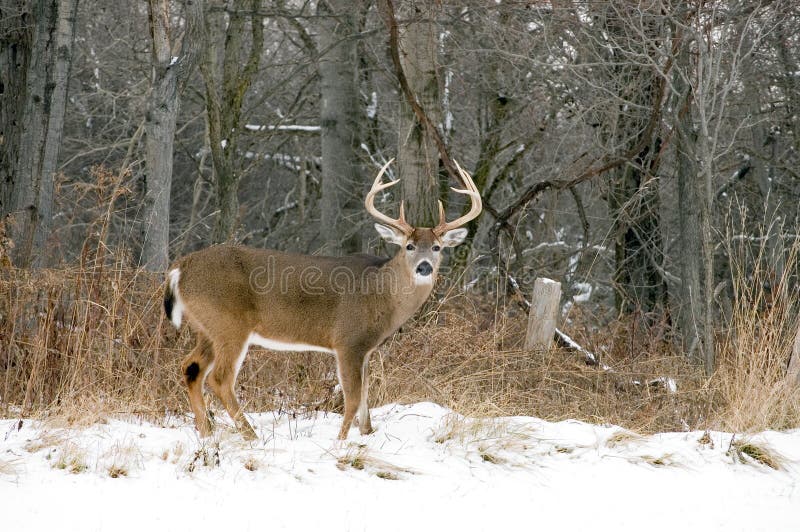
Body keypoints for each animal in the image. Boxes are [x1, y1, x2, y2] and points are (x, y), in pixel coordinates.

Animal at [163, 159, 482, 440]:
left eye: (438, 247)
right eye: (409, 246)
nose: (424, 267)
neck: (381, 295)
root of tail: (180, 268)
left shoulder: (366, 349)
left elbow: (366, 397)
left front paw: (366, 435)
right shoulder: (348, 341)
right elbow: (353, 398)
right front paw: (340, 441)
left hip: (206, 327)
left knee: (191, 368)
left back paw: (207, 434)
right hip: (230, 325)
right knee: (220, 378)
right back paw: (250, 436)